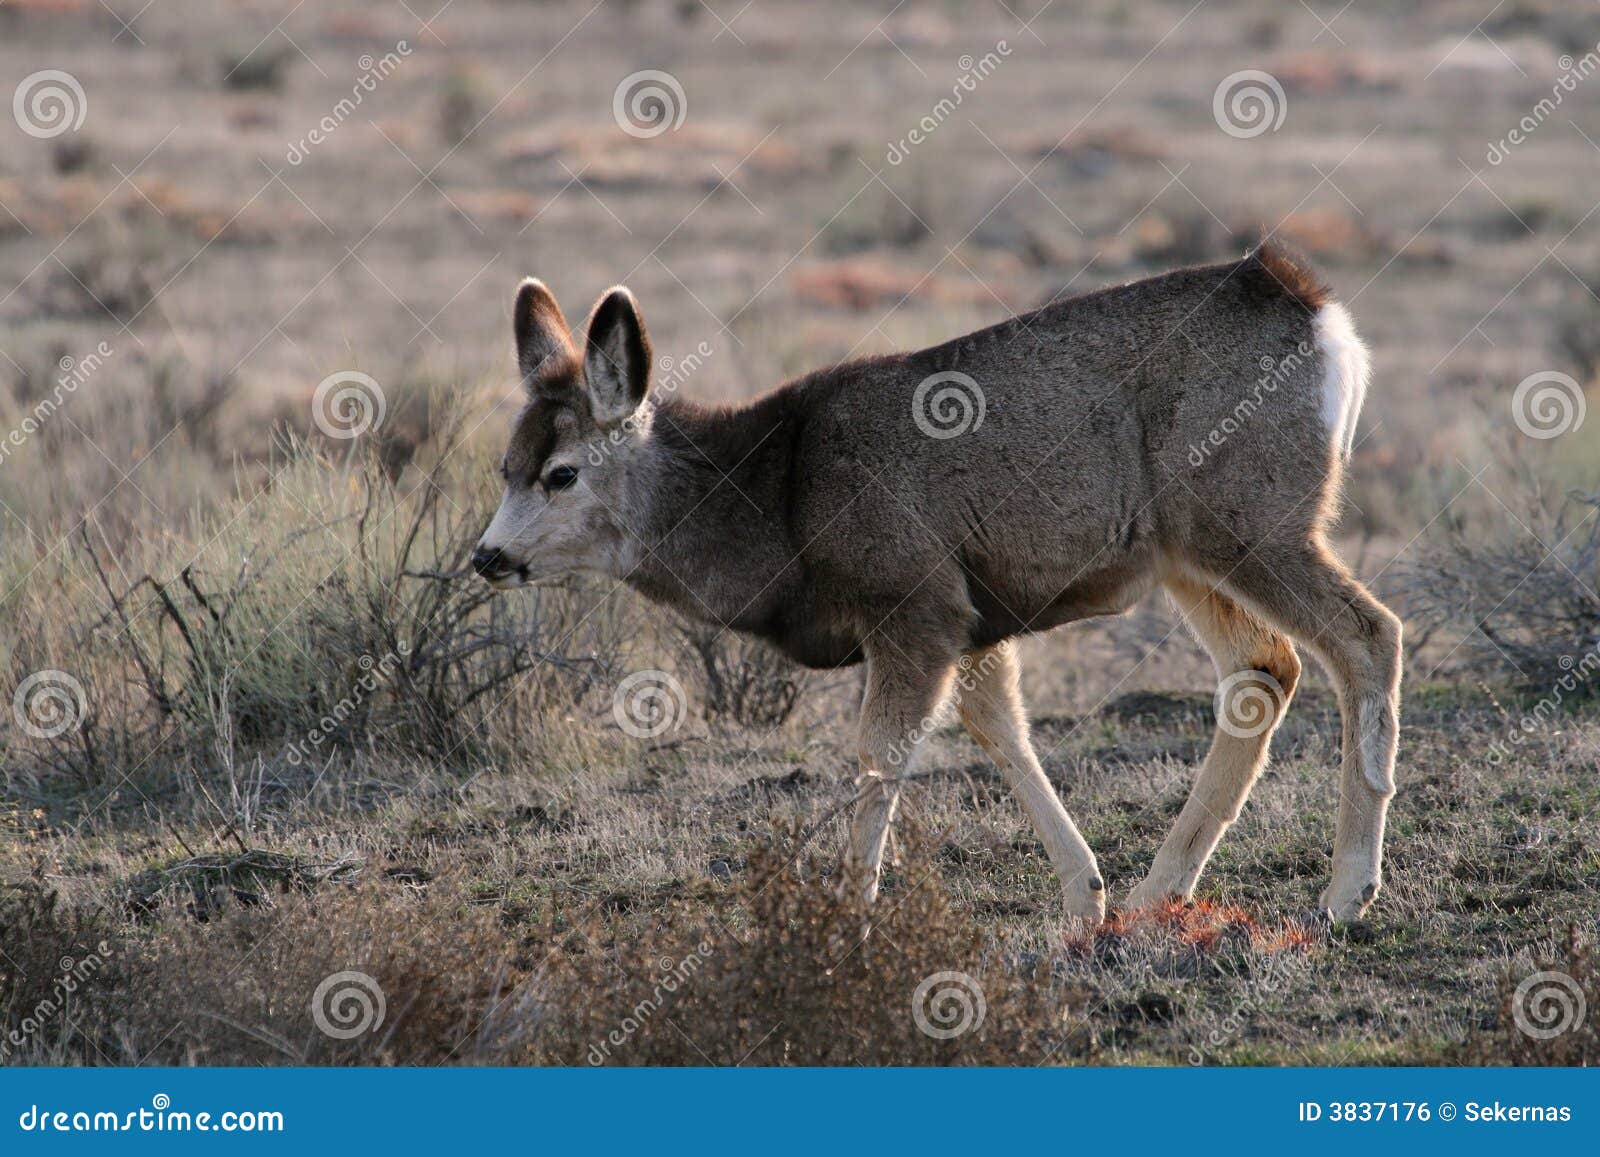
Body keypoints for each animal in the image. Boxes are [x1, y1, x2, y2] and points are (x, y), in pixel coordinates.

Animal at [471, 241, 1400, 926]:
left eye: (560, 473)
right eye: (504, 465)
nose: (487, 556)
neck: (780, 499)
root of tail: (1324, 319)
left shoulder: (911, 597)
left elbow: (881, 752)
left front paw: (851, 912)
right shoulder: (973, 615)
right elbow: (1001, 730)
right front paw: (1085, 896)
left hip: (1251, 514)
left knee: (1366, 633)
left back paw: (1347, 889)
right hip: (1189, 545)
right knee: (1263, 669)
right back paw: (1159, 890)